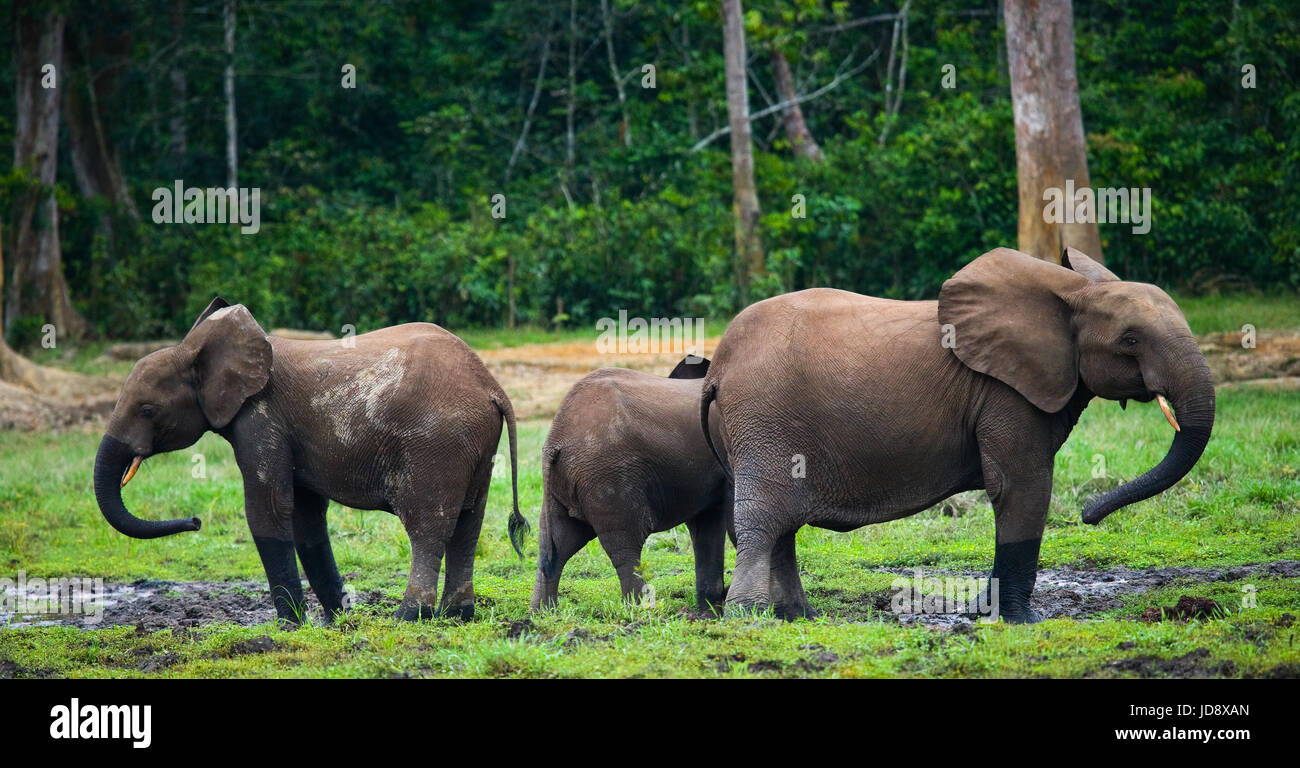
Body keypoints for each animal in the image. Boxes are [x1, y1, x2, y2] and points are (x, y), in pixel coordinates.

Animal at [93, 298, 527, 625]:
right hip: (473, 443)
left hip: (436, 443)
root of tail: (492, 387)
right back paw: (457, 616)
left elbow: (268, 508)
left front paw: (289, 625)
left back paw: (408, 616)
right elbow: (305, 517)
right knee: (468, 525)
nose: (196, 521)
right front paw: (336, 621)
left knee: (428, 527)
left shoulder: (261, 418)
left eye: (147, 410)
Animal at [530, 355, 734, 613]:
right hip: (608, 477)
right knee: (624, 544)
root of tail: (555, 440)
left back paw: (543, 613)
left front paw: (710, 608)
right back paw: (640, 609)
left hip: (566, 483)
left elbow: (707, 525)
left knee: (558, 543)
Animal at [700, 247, 1215, 623]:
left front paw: (986, 614)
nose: (1090, 515)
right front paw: (1021, 622)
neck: (1073, 292)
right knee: (764, 521)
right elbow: (1021, 486)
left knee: (782, 525)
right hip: (765, 421)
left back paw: (800, 617)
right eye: (1130, 340)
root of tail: (718, 366)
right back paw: (748, 618)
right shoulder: (1006, 394)